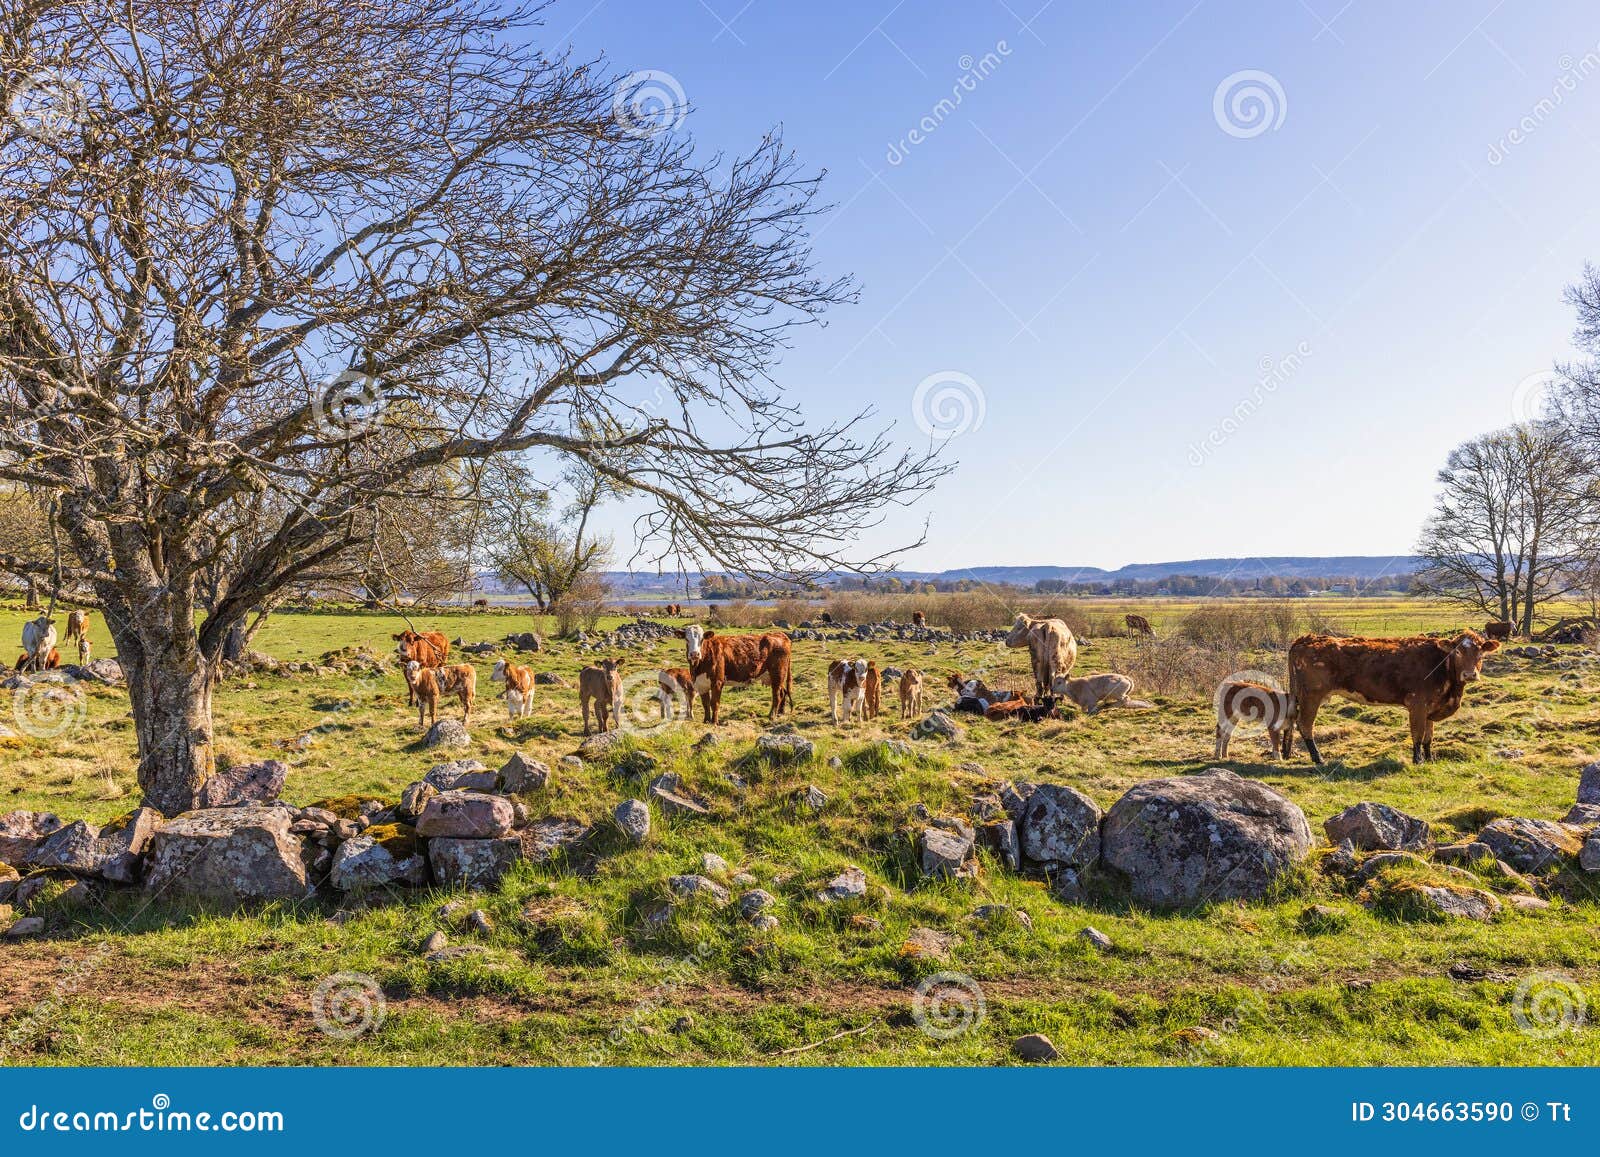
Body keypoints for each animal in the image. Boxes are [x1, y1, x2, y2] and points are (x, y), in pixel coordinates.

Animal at [1288, 632, 1501, 764]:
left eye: (1481, 652)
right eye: (1457, 651)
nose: (1470, 674)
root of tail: (1306, 638)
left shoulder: (1430, 708)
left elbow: (1428, 737)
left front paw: (1430, 759)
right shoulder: (1417, 704)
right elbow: (1417, 734)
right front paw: (1417, 760)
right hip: (1311, 695)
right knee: (1305, 724)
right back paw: (1318, 758)